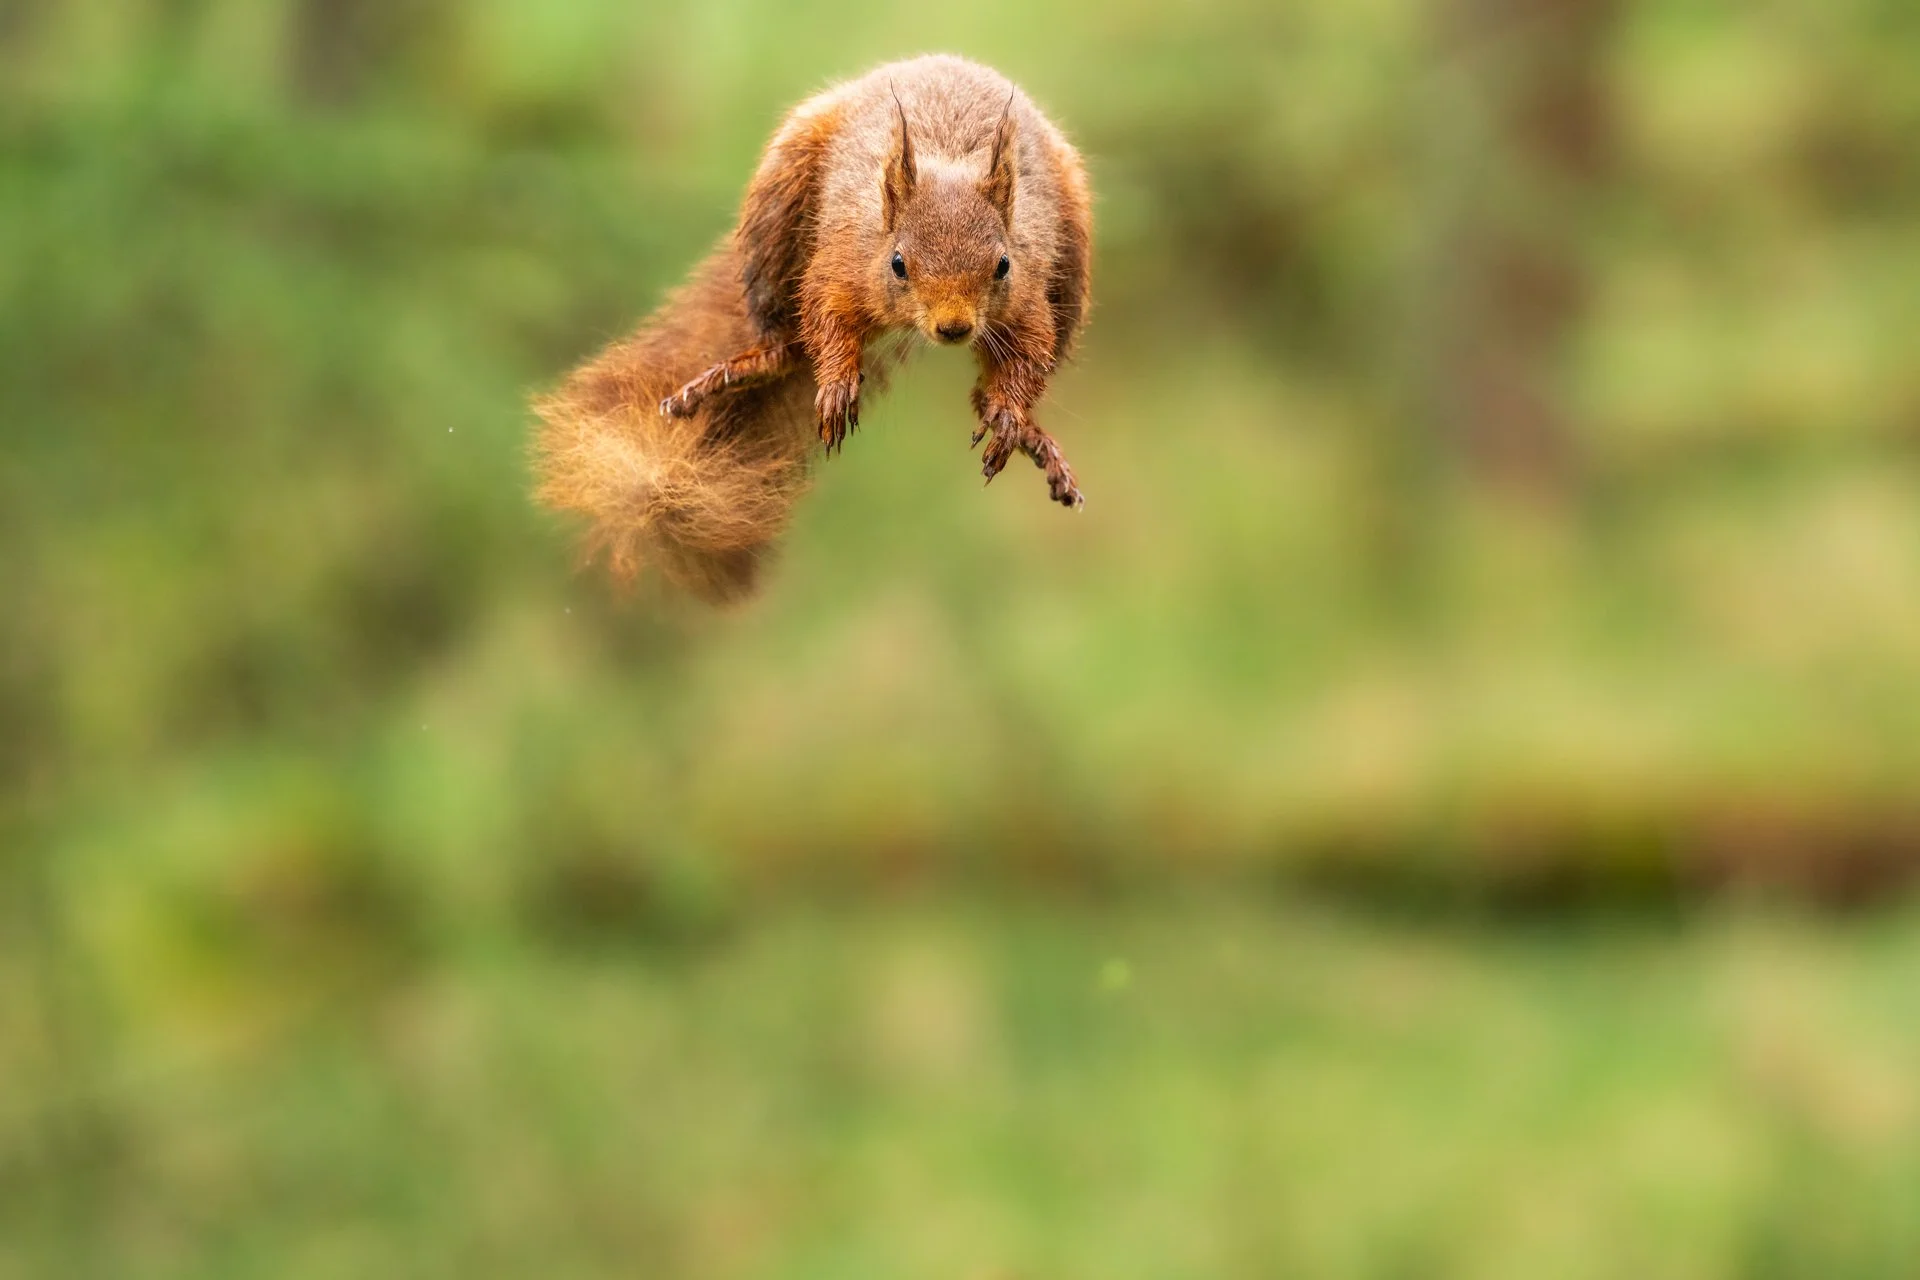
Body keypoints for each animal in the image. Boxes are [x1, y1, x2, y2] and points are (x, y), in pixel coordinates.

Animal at [534, 54, 1092, 601]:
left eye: (1002, 265)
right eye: (898, 263)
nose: (953, 328)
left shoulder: (1027, 298)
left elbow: (1028, 355)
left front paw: (1009, 415)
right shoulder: (841, 263)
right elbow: (826, 319)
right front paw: (838, 383)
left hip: (1074, 255)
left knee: (995, 383)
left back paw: (1030, 434)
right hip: (780, 194)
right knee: (790, 345)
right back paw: (756, 363)